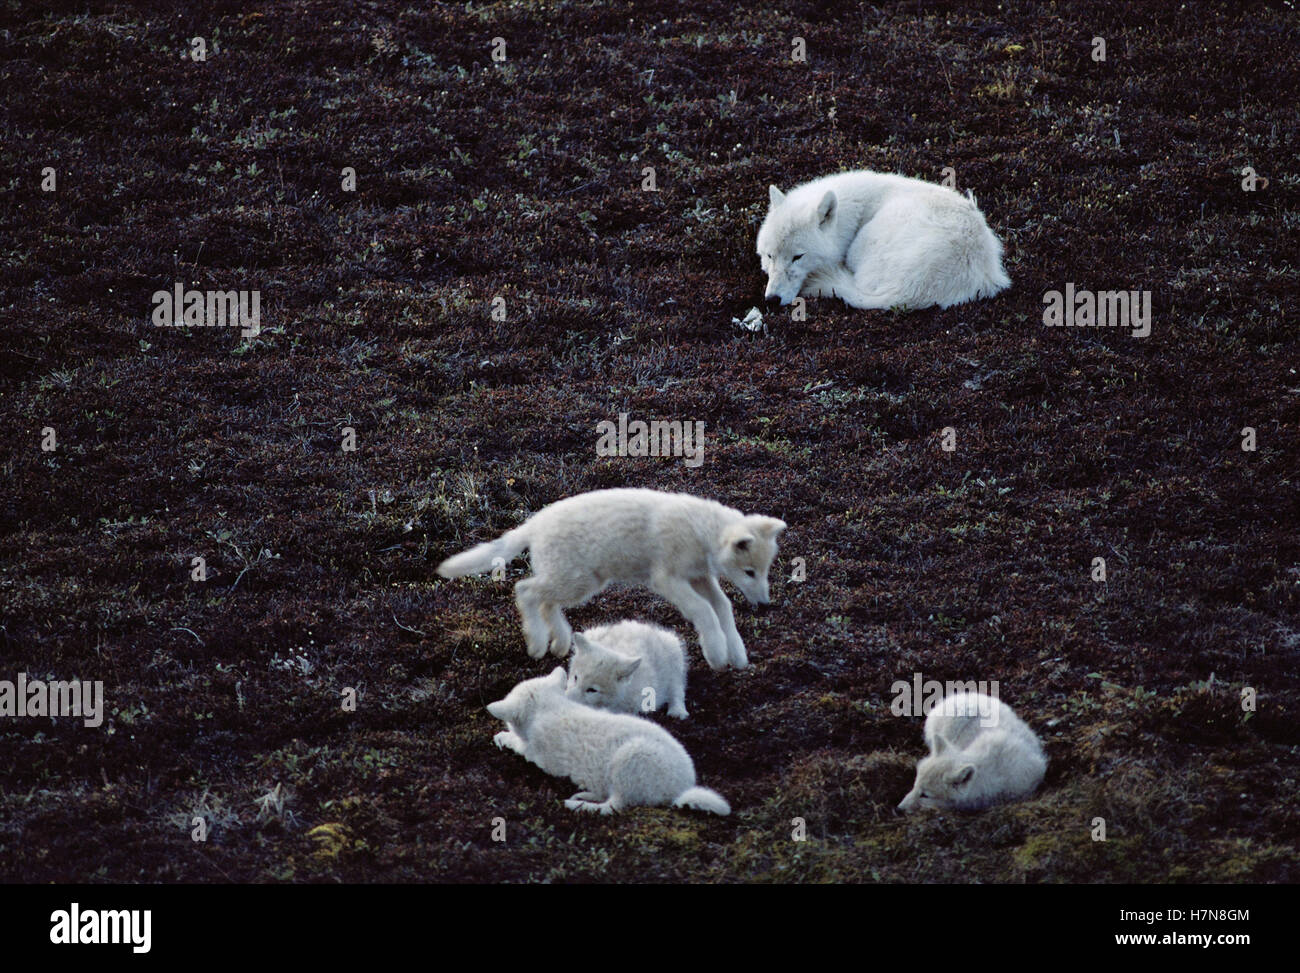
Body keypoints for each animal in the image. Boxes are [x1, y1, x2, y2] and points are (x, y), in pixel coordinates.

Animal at [437, 488, 786, 670]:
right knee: (526, 590)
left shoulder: (700, 577)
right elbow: (704, 611)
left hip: (576, 580)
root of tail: (533, 525)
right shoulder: (667, 577)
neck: (702, 532)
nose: (765, 605)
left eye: (765, 570)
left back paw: (560, 643)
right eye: (750, 572)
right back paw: (536, 643)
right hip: (575, 578)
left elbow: (723, 607)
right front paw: (716, 653)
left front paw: (737, 654)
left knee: (546, 601)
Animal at [486, 667, 730, 815]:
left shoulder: (538, 754)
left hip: (629, 761)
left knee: (614, 806)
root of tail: (681, 788)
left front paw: (503, 737)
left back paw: (577, 804)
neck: (550, 706)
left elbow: (520, 745)